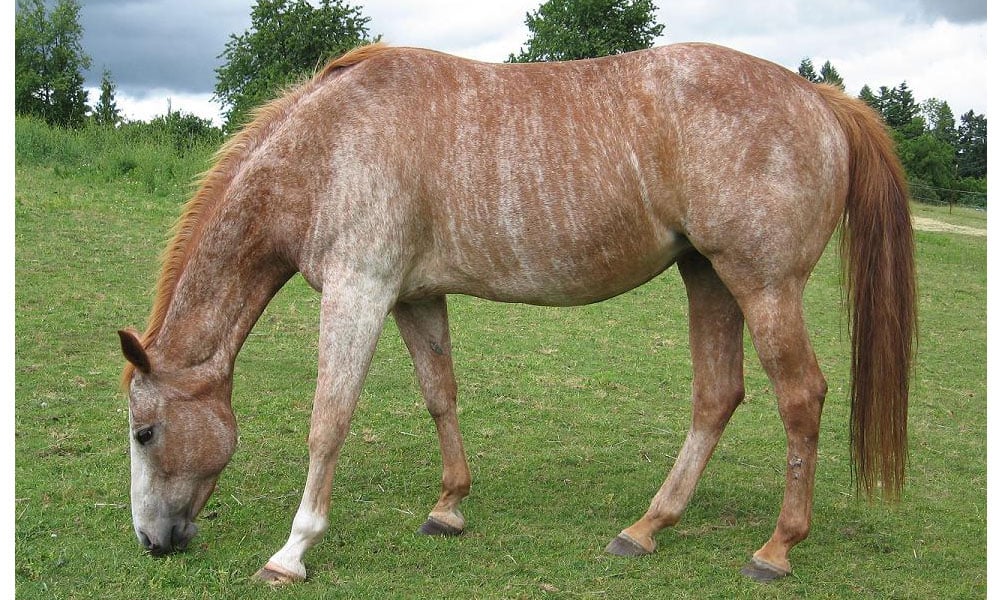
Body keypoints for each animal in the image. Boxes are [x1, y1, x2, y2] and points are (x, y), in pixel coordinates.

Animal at [118, 42, 915, 584]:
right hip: (709, 278)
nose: (154, 541)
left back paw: (776, 548)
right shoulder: (413, 296)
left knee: (800, 397)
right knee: (717, 396)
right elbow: (439, 394)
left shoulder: (359, 289)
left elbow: (329, 421)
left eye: (145, 432)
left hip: (764, 285)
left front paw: (292, 551)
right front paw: (449, 506)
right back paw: (646, 527)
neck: (330, 144)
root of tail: (819, 98)